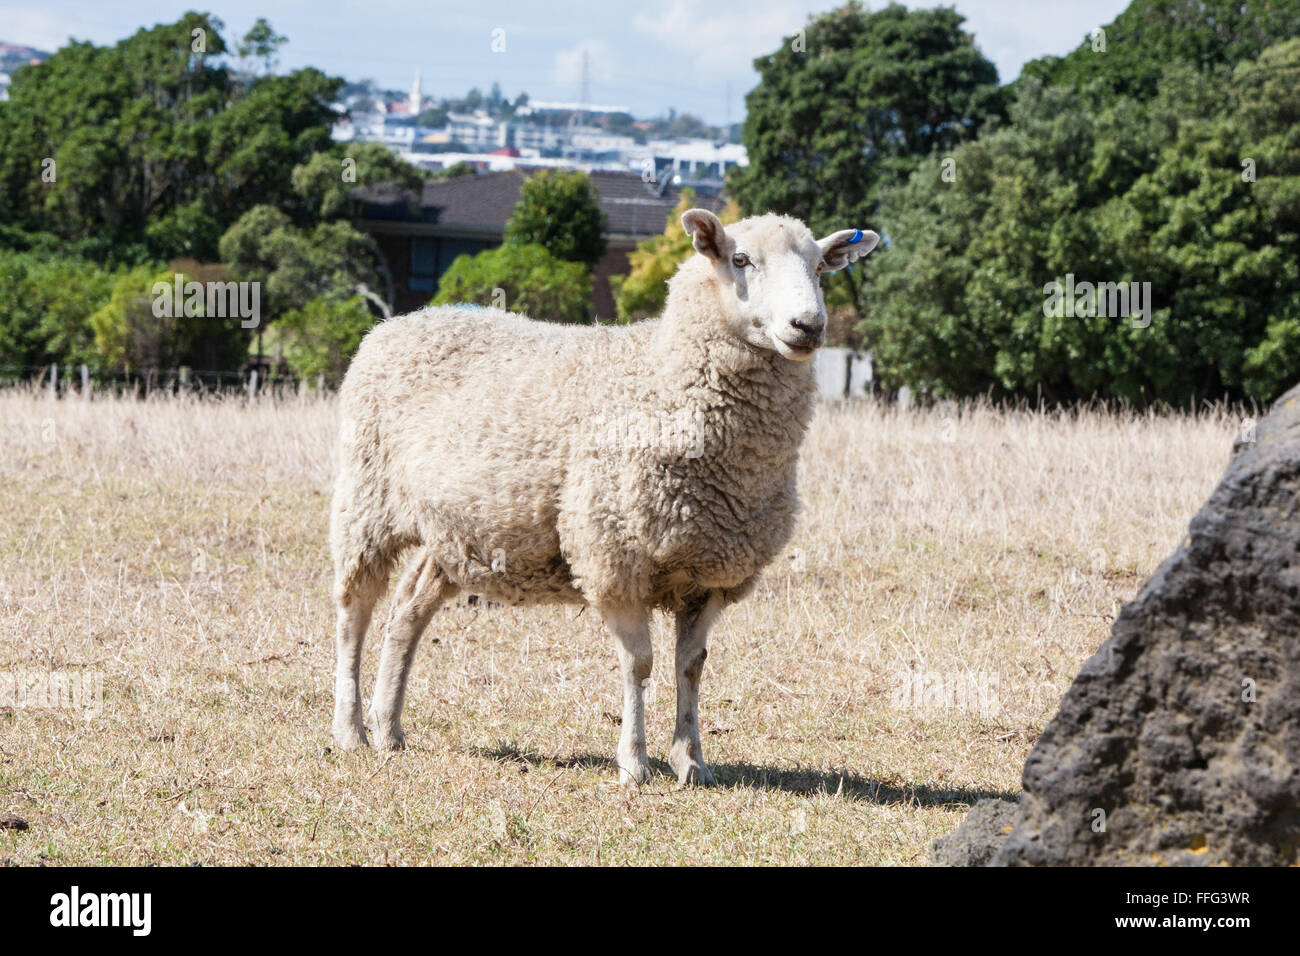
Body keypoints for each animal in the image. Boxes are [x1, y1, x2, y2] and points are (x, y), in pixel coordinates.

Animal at [329, 209, 879, 787]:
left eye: (820, 267)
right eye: (741, 259)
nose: (809, 325)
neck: (661, 377)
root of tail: (399, 322)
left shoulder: (710, 571)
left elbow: (692, 664)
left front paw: (691, 760)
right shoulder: (614, 555)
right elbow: (639, 664)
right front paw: (634, 762)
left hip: (457, 531)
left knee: (408, 609)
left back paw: (389, 728)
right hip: (366, 501)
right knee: (353, 614)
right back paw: (351, 731)